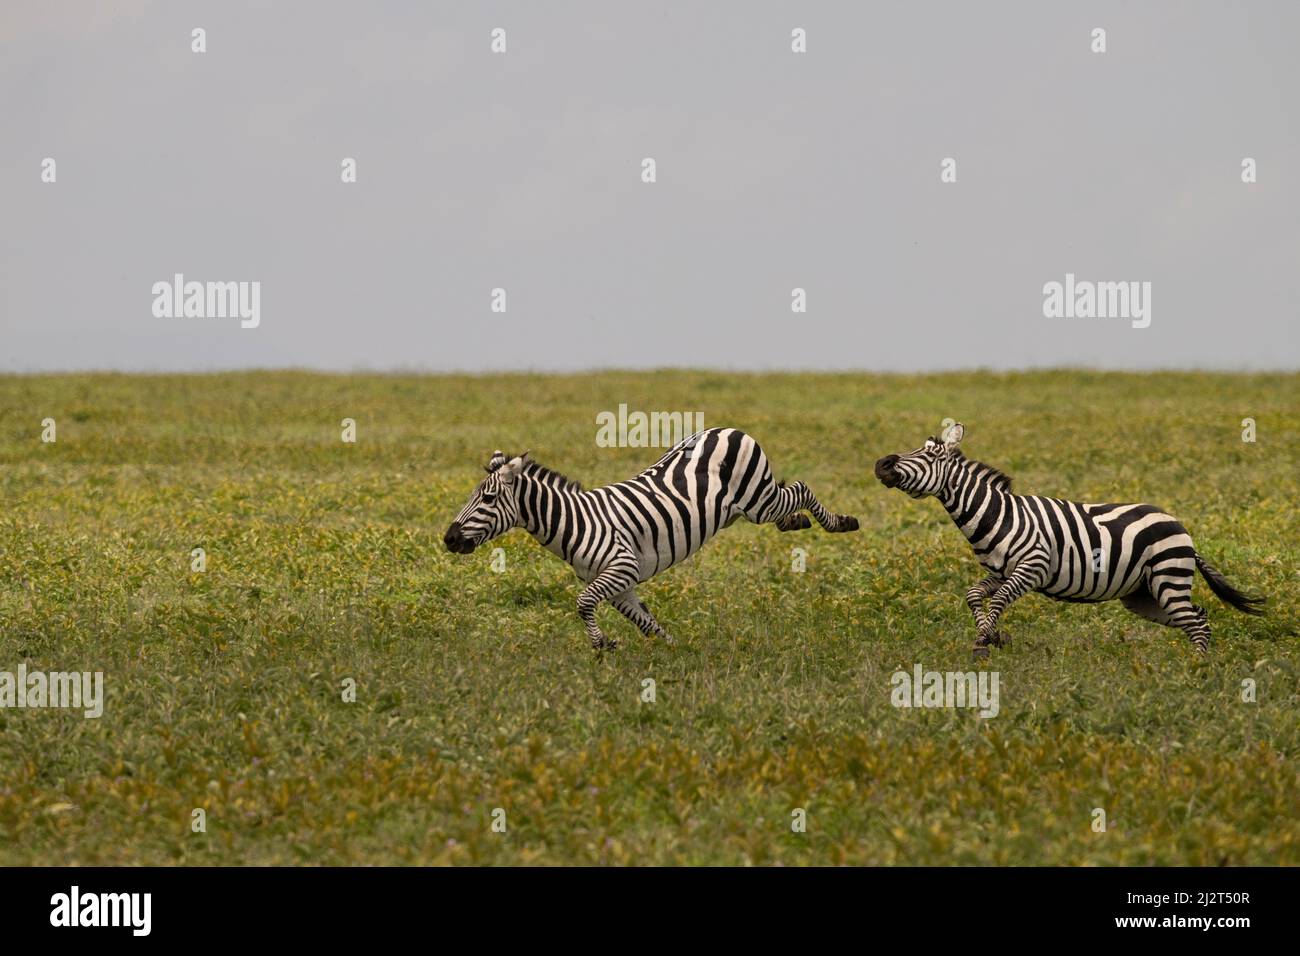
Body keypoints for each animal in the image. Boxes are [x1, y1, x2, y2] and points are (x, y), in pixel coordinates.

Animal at [444, 427, 860, 648]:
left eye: (488, 499)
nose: (449, 539)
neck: (575, 521)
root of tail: (726, 429)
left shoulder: (622, 567)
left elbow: (583, 602)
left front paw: (602, 644)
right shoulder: (619, 584)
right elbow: (645, 622)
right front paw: (675, 651)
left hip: (759, 499)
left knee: (801, 488)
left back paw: (841, 522)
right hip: (746, 508)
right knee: (790, 500)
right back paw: (797, 522)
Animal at [873, 423, 1265, 657]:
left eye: (930, 454)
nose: (882, 464)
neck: (997, 514)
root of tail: (1180, 526)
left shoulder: (1032, 566)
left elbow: (998, 601)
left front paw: (985, 642)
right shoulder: (1000, 572)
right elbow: (973, 595)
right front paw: (991, 634)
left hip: (1168, 577)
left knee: (1195, 620)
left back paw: (1196, 671)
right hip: (1143, 595)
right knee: (1196, 617)